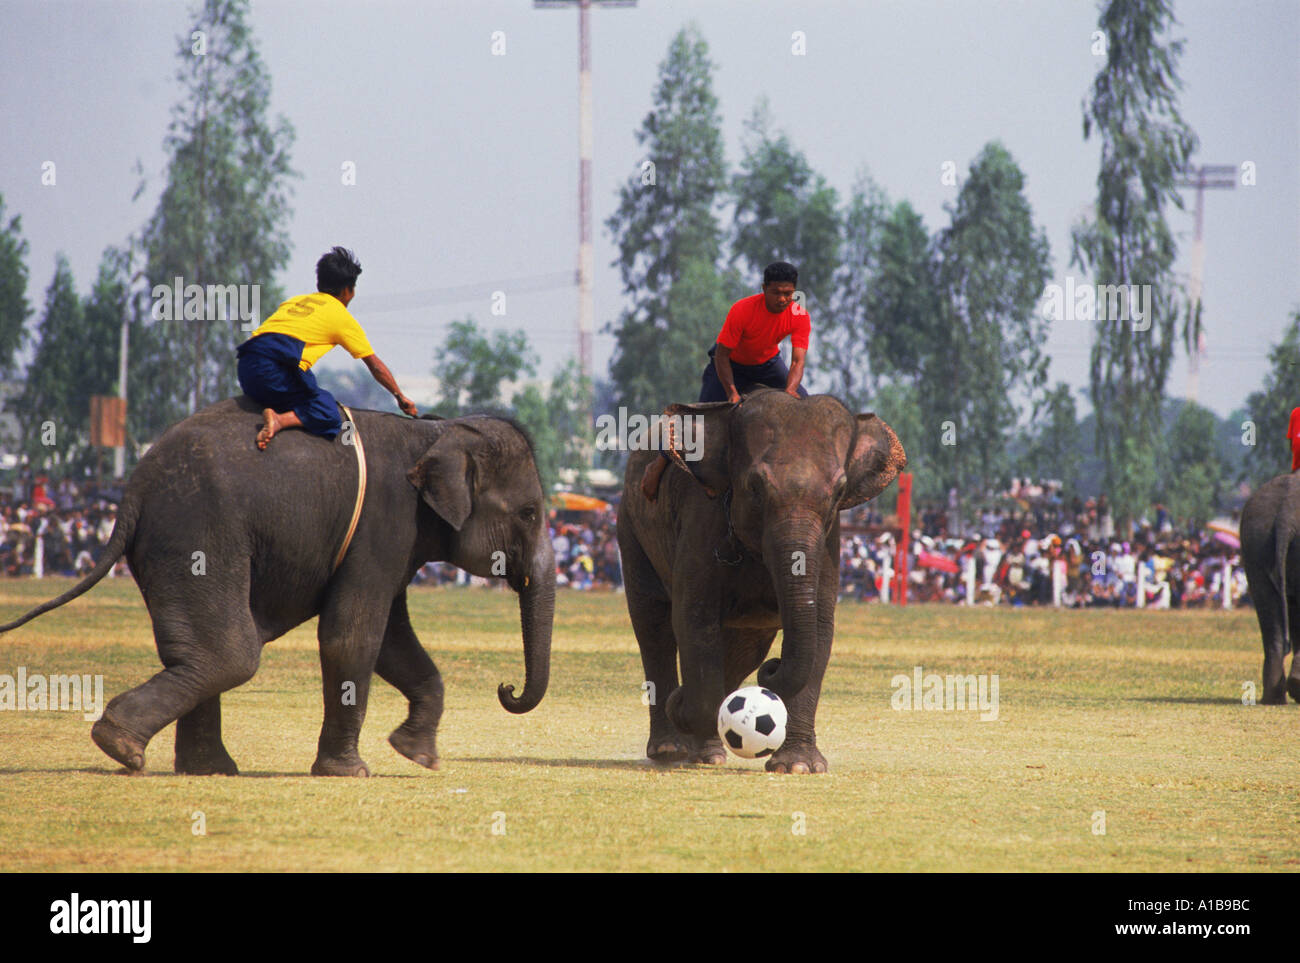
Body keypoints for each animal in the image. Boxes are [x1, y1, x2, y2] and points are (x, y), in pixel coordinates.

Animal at [1, 395, 555, 776]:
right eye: (530, 513)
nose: (506, 687)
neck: (436, 431)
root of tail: (131, 490)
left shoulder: (394, 543)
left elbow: (390, 642)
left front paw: (417, 756)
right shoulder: (384, 523)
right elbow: (352, 636)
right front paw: (351, 773)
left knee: (197, 652)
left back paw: (199, 767)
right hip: (199, 533)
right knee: (230, 653)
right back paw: (122, 747)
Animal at [617, 389, 906, 773]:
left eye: (839, 491)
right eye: (755, 486)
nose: (774, 667)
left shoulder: (830, 541)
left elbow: (819, 627)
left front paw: (798, 766)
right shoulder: (702, 519)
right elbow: (694, 619)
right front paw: (684, 705)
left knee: (744, 650)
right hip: (630, 527)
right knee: (653, 626)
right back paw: (674, 749)